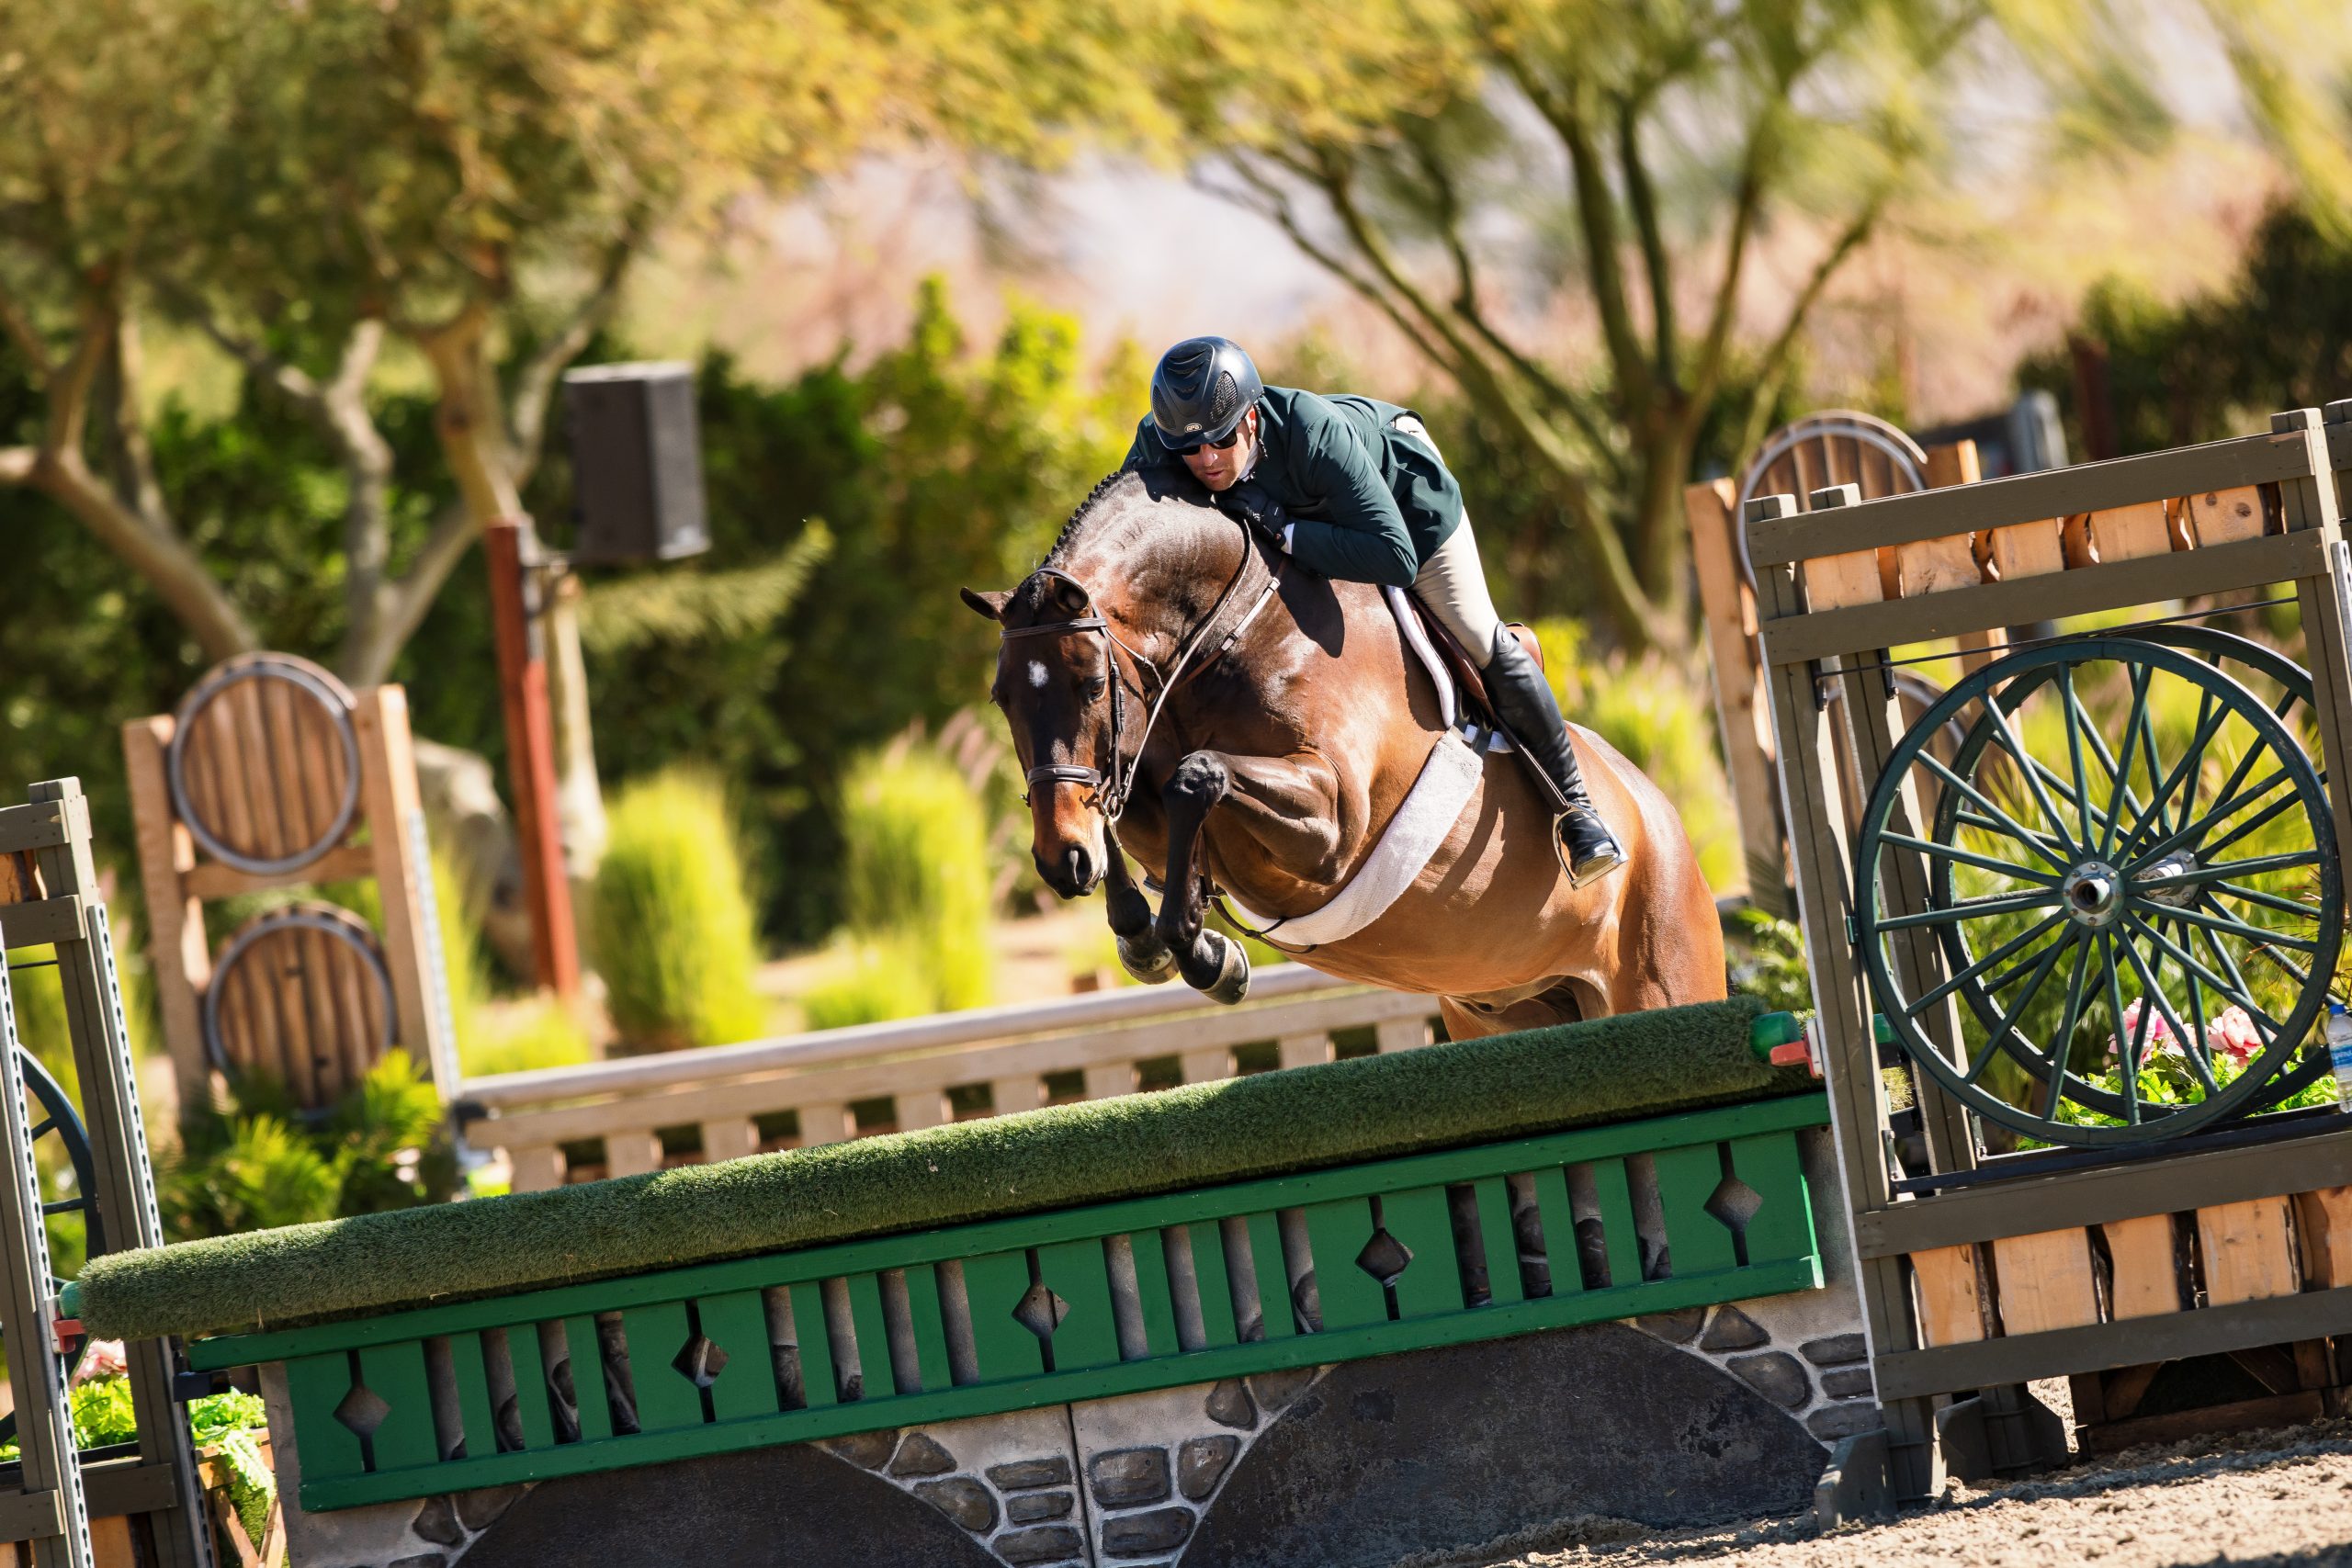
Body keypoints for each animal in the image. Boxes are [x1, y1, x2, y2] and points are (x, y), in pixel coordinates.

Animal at [960, 467, 1725, 1039]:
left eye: (1091, 684)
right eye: (1002, 698)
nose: (1059, 860)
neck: (1232, 625)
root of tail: (1663, 818)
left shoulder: (1333, 822)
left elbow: (1196, 776)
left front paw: (1201, 951)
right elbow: (1135, 812)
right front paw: (1153, 939)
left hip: (1661, 981)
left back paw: (1590, 836)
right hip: (1508, 1007)